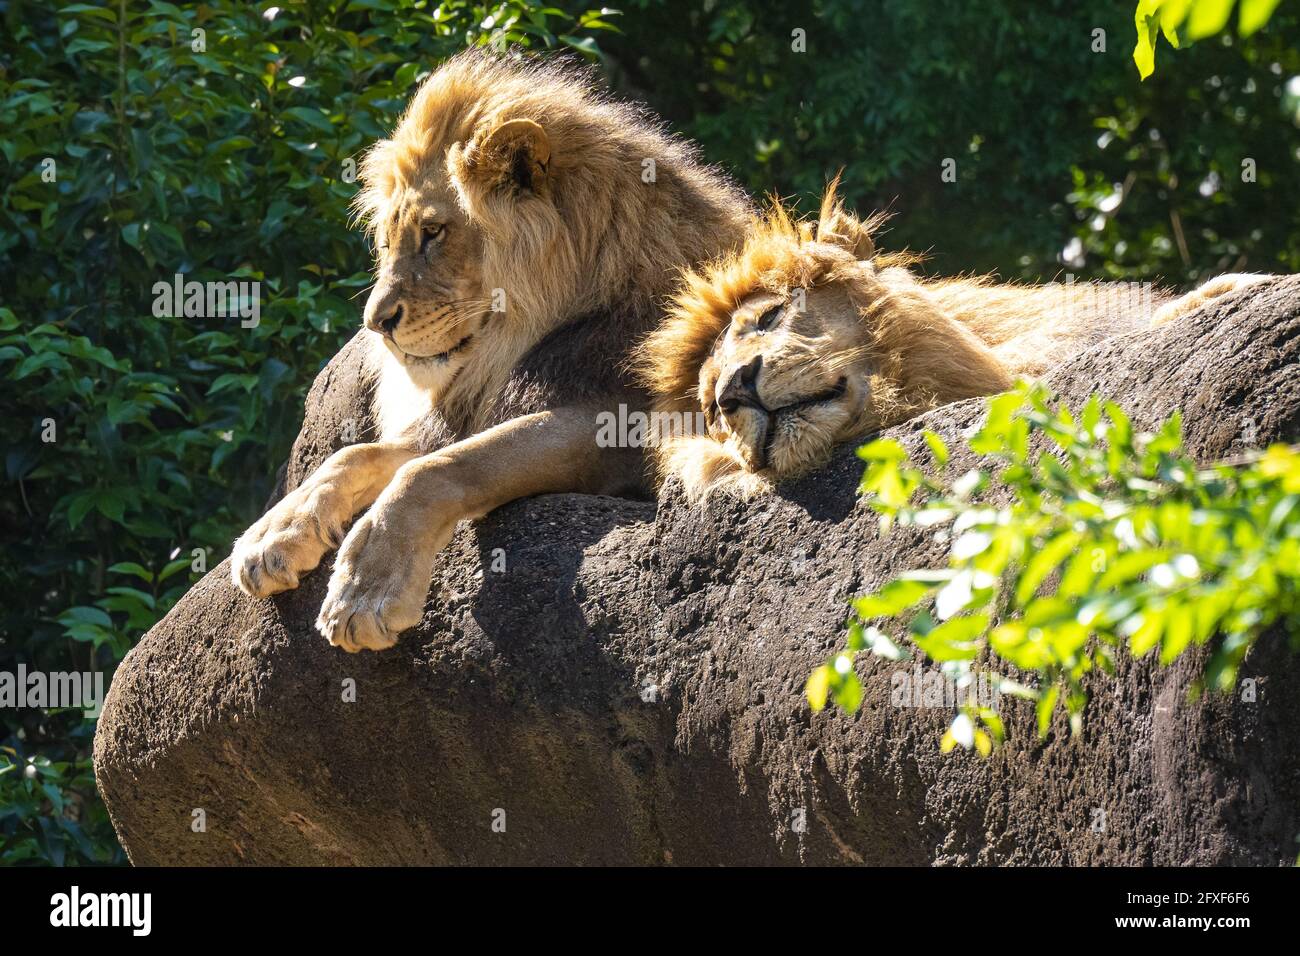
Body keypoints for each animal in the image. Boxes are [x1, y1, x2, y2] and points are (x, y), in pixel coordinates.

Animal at [230, 50, 751, 650]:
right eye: (389, 239)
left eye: (434, 232)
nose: (375, 323)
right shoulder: (474, 407)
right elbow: (355, 455)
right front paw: (273, 534)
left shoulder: (617, 425)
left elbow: (441, 468)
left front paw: (367, 588)